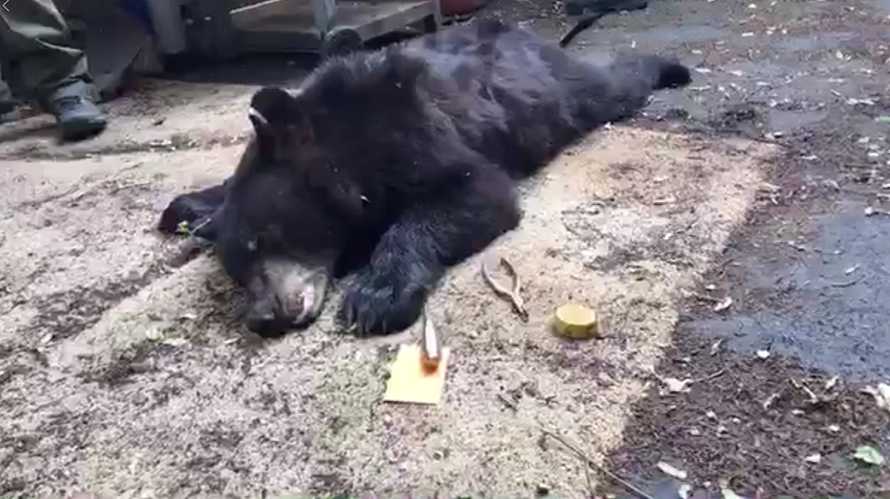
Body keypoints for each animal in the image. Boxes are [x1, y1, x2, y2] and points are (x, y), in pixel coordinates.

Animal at [159, 18, 691, 337]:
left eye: (262, 238)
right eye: (235, 270)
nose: (262, 319)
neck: (345, 149)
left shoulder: (415, 138)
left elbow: (470, 194)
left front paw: (379, 292)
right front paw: (190, 205)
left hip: (570, 95)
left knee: (614, 83)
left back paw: (670, 68)